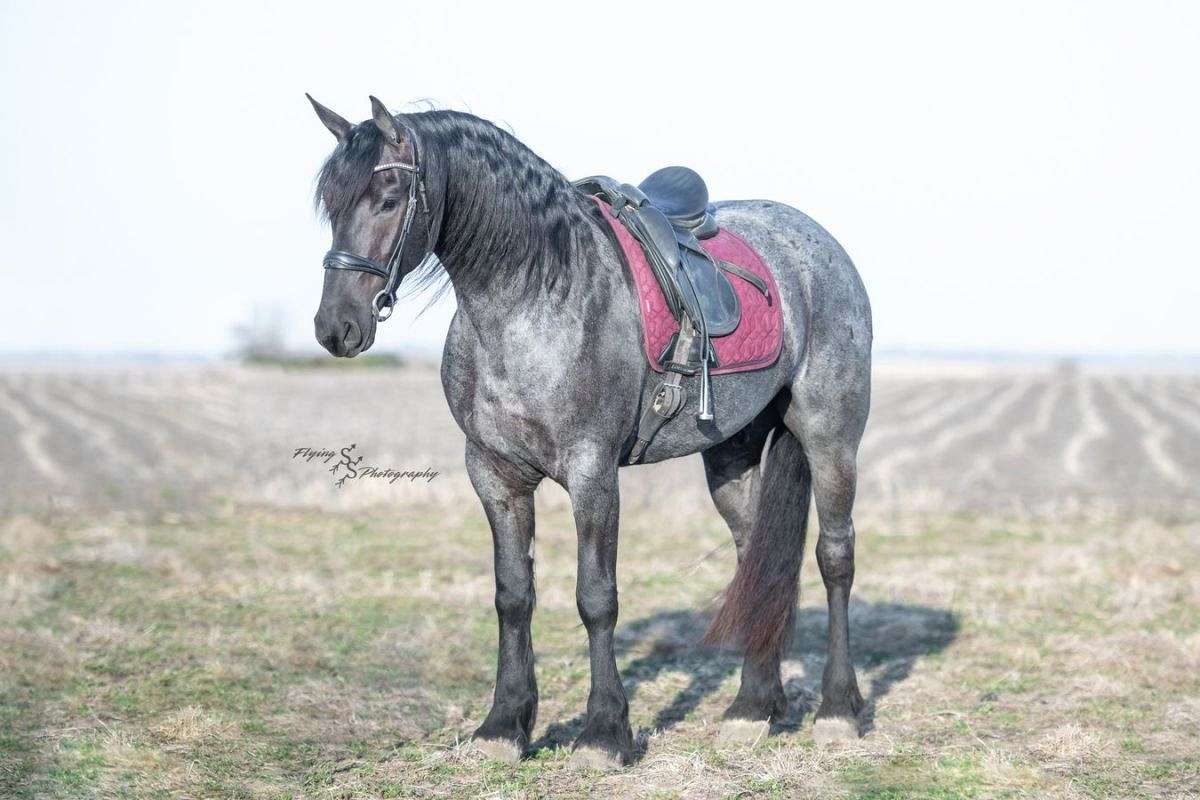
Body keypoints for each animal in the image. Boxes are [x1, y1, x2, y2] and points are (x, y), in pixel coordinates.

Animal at [306, 95, 873, 768]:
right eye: (331, 203)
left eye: (389, 197)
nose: (336, 327)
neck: (535, 300)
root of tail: (821, 245)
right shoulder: (494, 474)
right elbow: (512, 594)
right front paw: (504, 725)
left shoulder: (592, 473)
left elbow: (596, 597)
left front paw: (604, 732)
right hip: (730, 456)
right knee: (754, 559)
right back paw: (751, 709)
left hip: (831, 436)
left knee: (835, 557)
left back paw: (839, 711)